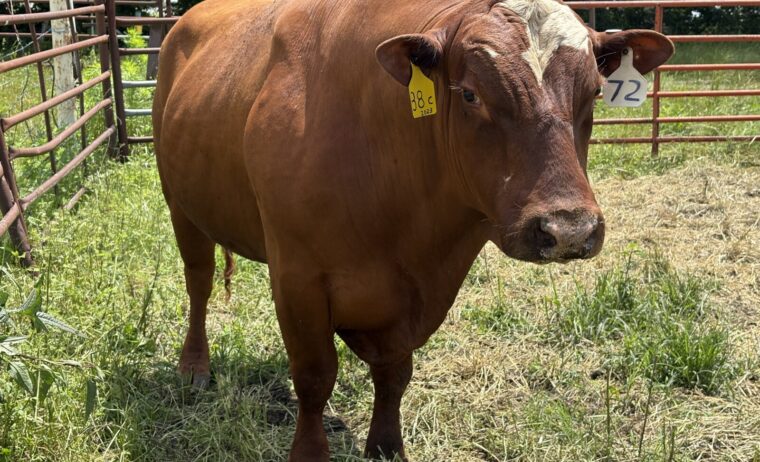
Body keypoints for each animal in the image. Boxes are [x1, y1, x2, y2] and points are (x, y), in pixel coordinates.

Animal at [152, 0, 673, 459]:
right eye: (470, 94)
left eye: (592, 95)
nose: (568, 229)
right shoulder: (298, 277)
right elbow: (315, 376)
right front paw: (309, 452)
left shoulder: (422, 288)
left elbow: (394, 372)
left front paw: (386, 446)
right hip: (180, 204)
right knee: (198, 282)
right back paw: (194, 366)